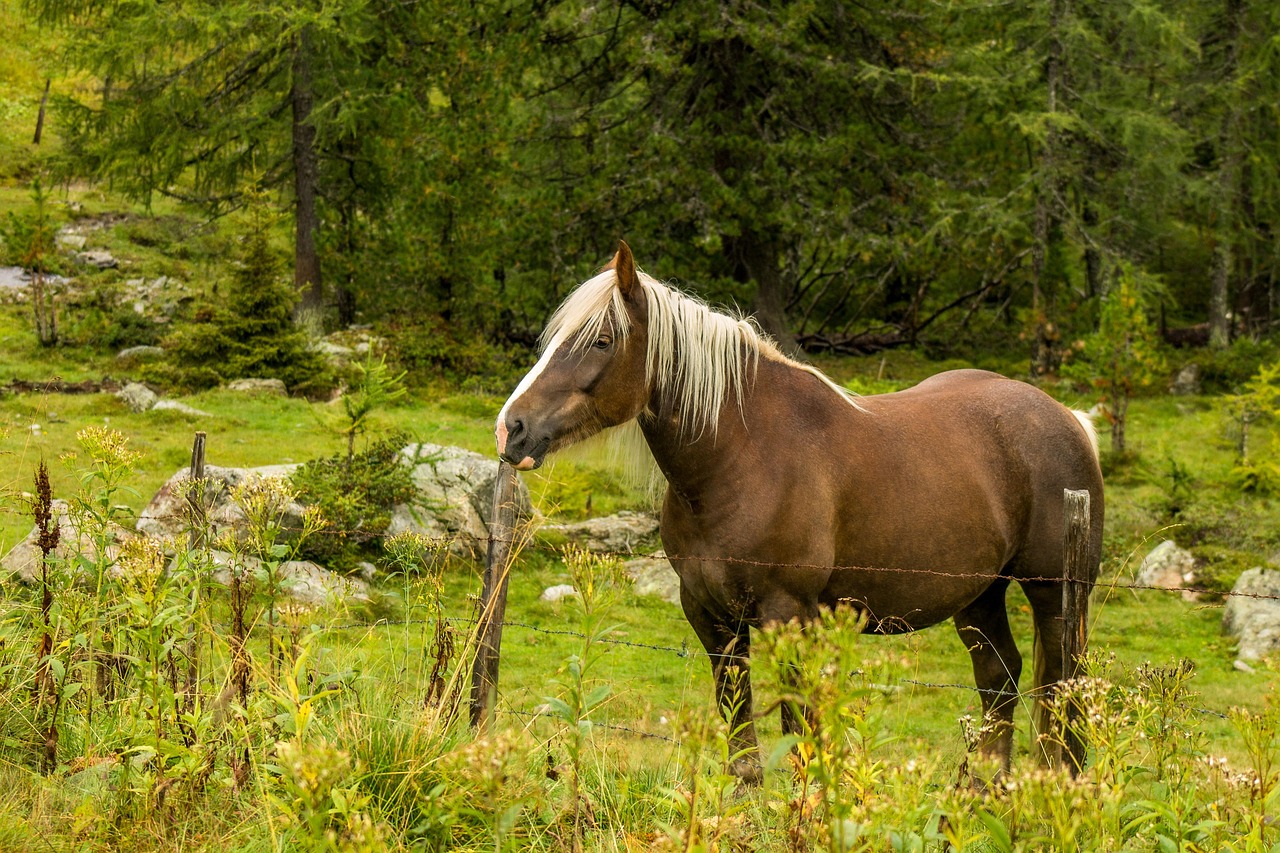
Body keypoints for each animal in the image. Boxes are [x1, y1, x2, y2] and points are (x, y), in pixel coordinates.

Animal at [495, 241, 1104, 783]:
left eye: (601, 341)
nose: (511, 429)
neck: (743, 458)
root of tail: (1069, 419)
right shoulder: (709, 614)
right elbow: (739, 726)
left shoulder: (788, 613)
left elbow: (799, 727)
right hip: (980, 595)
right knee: (999, 678)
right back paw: (984, 788)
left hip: (1054, 594)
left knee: (1063, 685)